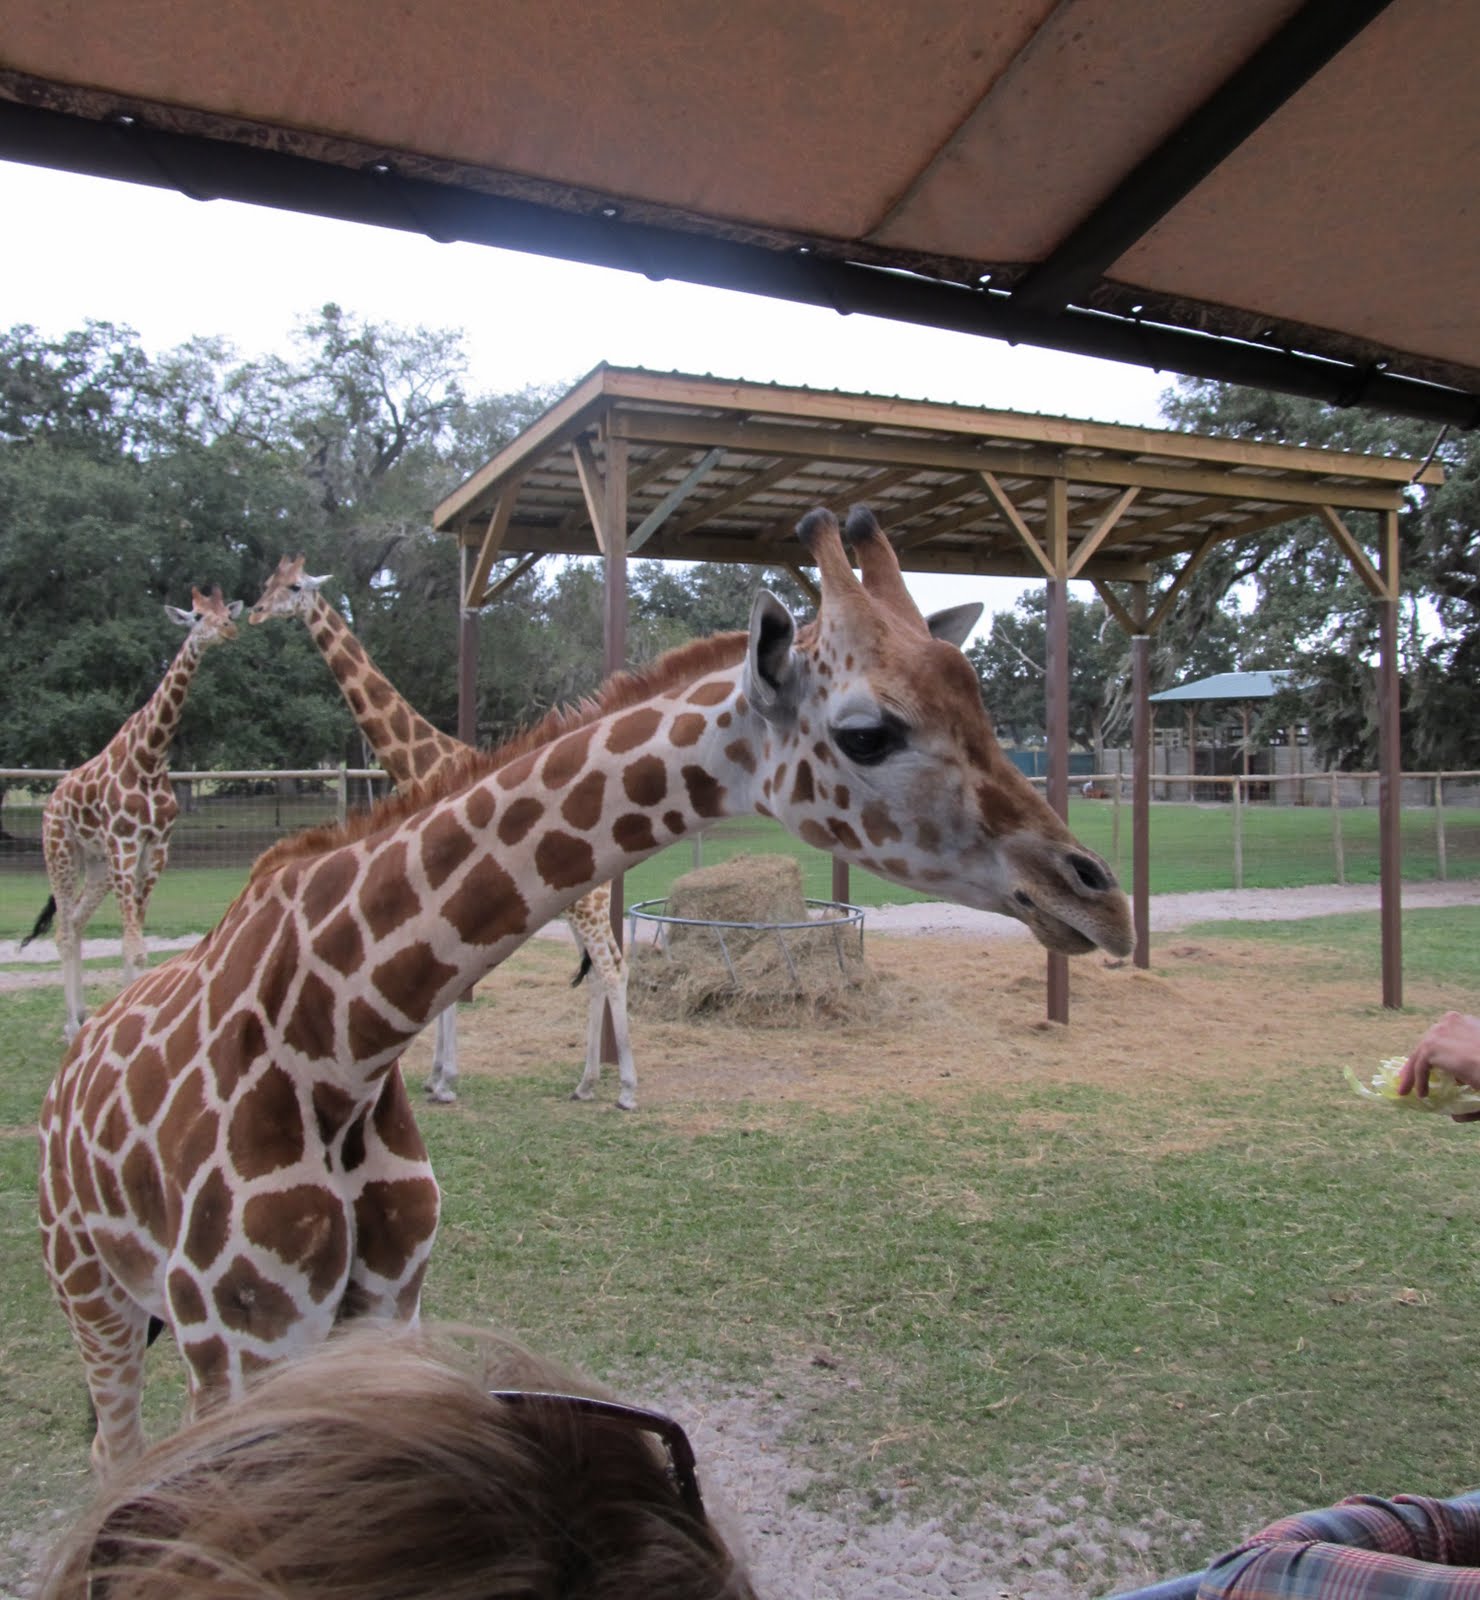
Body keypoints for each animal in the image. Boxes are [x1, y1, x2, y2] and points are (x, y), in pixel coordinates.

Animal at [22, 586, 242, 1043]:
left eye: (225, 611)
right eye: (197, 616)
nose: (230, 629)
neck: (150, 756)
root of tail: (51, 801)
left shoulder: (156, 847)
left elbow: (137, 943)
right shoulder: (126, 842)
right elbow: (132, 943)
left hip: (98, 864)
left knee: (76, 921)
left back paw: (82, 1013)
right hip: (61, 853)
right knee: (63, 929)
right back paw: (71, 1026)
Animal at [247, 555, 637, 1109]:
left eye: (296, 587)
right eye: (269, 583)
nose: (255, 612)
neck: (423, 765)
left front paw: (443, 1081)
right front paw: (436, 1077)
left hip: (587, 904)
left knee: (612, 968)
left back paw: (625, 1090)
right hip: (576, 904)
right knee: (600, 974)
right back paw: (584, 1084)